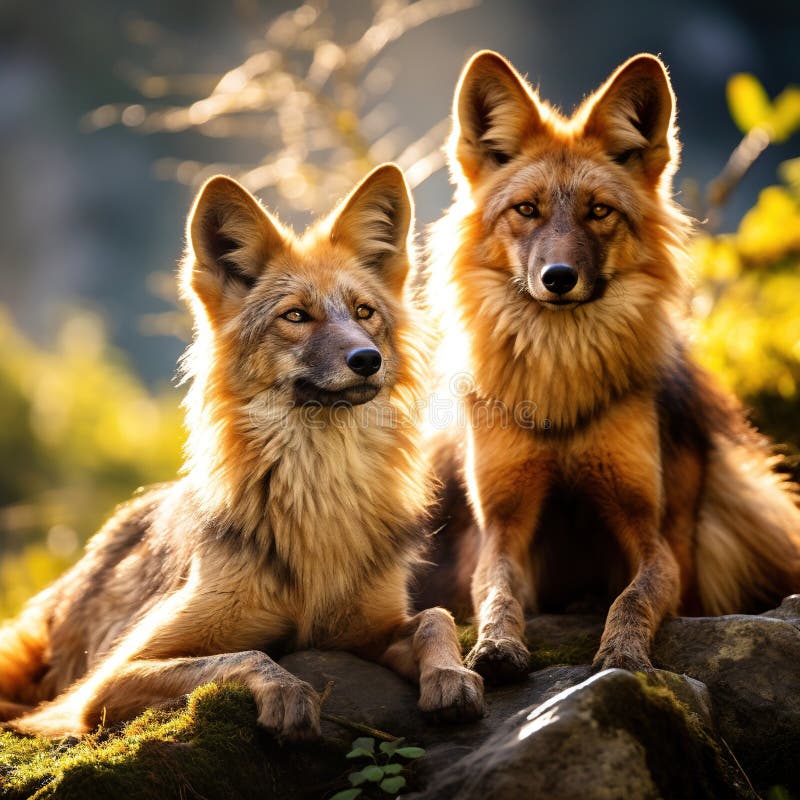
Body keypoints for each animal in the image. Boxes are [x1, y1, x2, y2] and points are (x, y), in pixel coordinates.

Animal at [0, 163, 484, 737]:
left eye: (364, 312)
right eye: (295, 316)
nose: (368, 360)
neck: (317, 510)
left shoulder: (368, 628)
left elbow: (436, 619)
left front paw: (453, 677)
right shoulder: (107, 681)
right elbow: (250, 655)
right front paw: (288, 695)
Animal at [422, 51, 800, 681]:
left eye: (599, 211)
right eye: (527, 210)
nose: (558, 278)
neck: (562, 391)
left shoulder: (652, 532)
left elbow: (634, 595)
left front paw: (622, 653)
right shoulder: (502, 526)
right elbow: (496, 591)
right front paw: (496, 646)